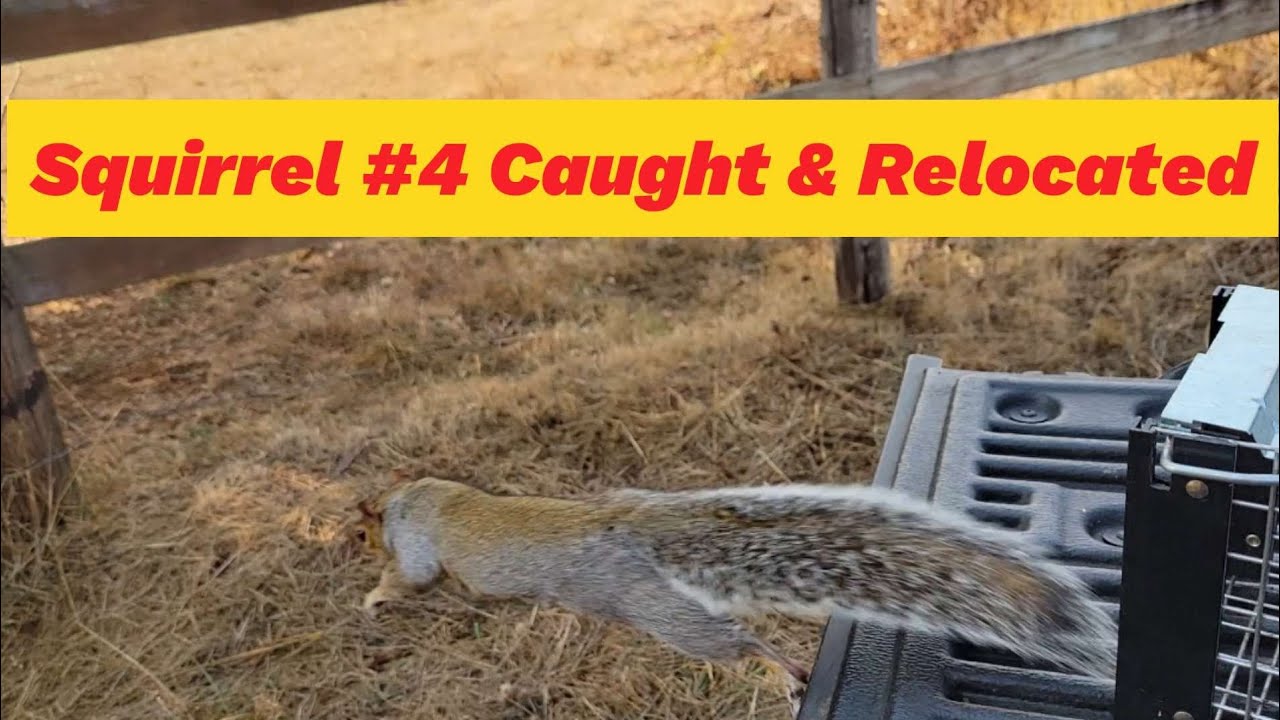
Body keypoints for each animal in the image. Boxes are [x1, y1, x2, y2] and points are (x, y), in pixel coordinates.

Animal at [351, 476, 1117, 712]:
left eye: (360, 535)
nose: (355, 548)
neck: (405, 501)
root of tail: (632, 524)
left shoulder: (416, 548)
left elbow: (411, 578)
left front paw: (373, 597)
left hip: (660, 615)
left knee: (739, 642)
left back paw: (784, 670)